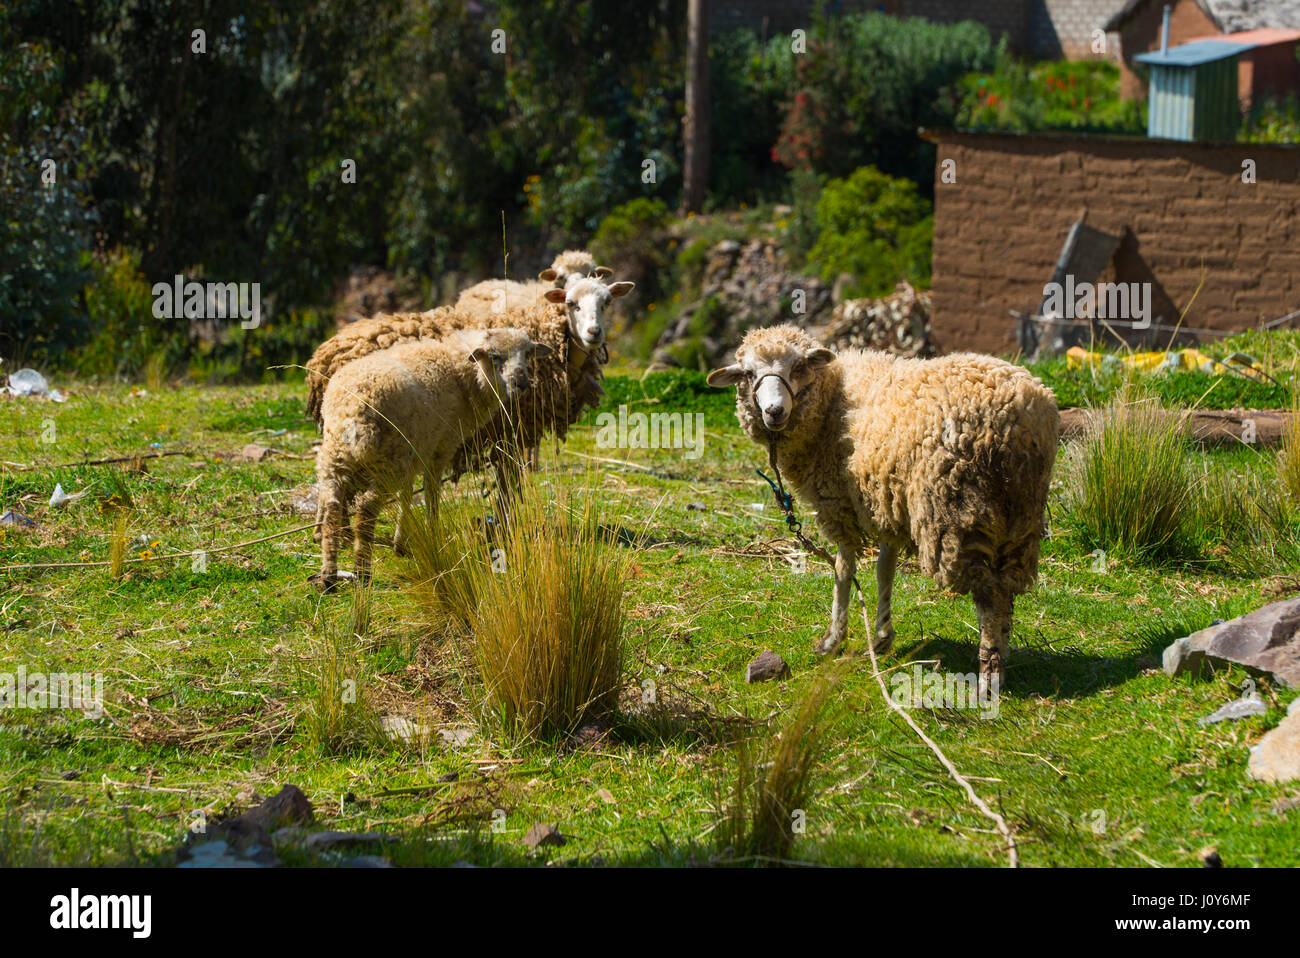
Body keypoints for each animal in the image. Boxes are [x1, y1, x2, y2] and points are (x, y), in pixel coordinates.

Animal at [311, 327, 547, 590]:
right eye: (495, 356)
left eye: (527, 354)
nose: (521, 384)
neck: (460, 373)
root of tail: (353, 411)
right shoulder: (439, 449)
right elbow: (431, 494)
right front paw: (431, 533)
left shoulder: (416, 451)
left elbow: (406, 496)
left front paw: (401, 542)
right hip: (388, 463)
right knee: (365, 510)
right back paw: (362, 570)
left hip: (336, 457)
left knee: (332, 509)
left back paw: (329, 574)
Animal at [707, 324, 1058, 692]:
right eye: (749, 374)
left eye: (798, 367)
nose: (774, 411)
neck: (832, 399)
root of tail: (1021, 412)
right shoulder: (886, 499)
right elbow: (884, 569)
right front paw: (882, 637)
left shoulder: (841, 503)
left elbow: (843, 568)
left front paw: (833, 639)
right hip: (1019, 514)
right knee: (1006, 587)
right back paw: (998, 658)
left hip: (957, 510)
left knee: (989, 592)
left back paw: (988, 675)